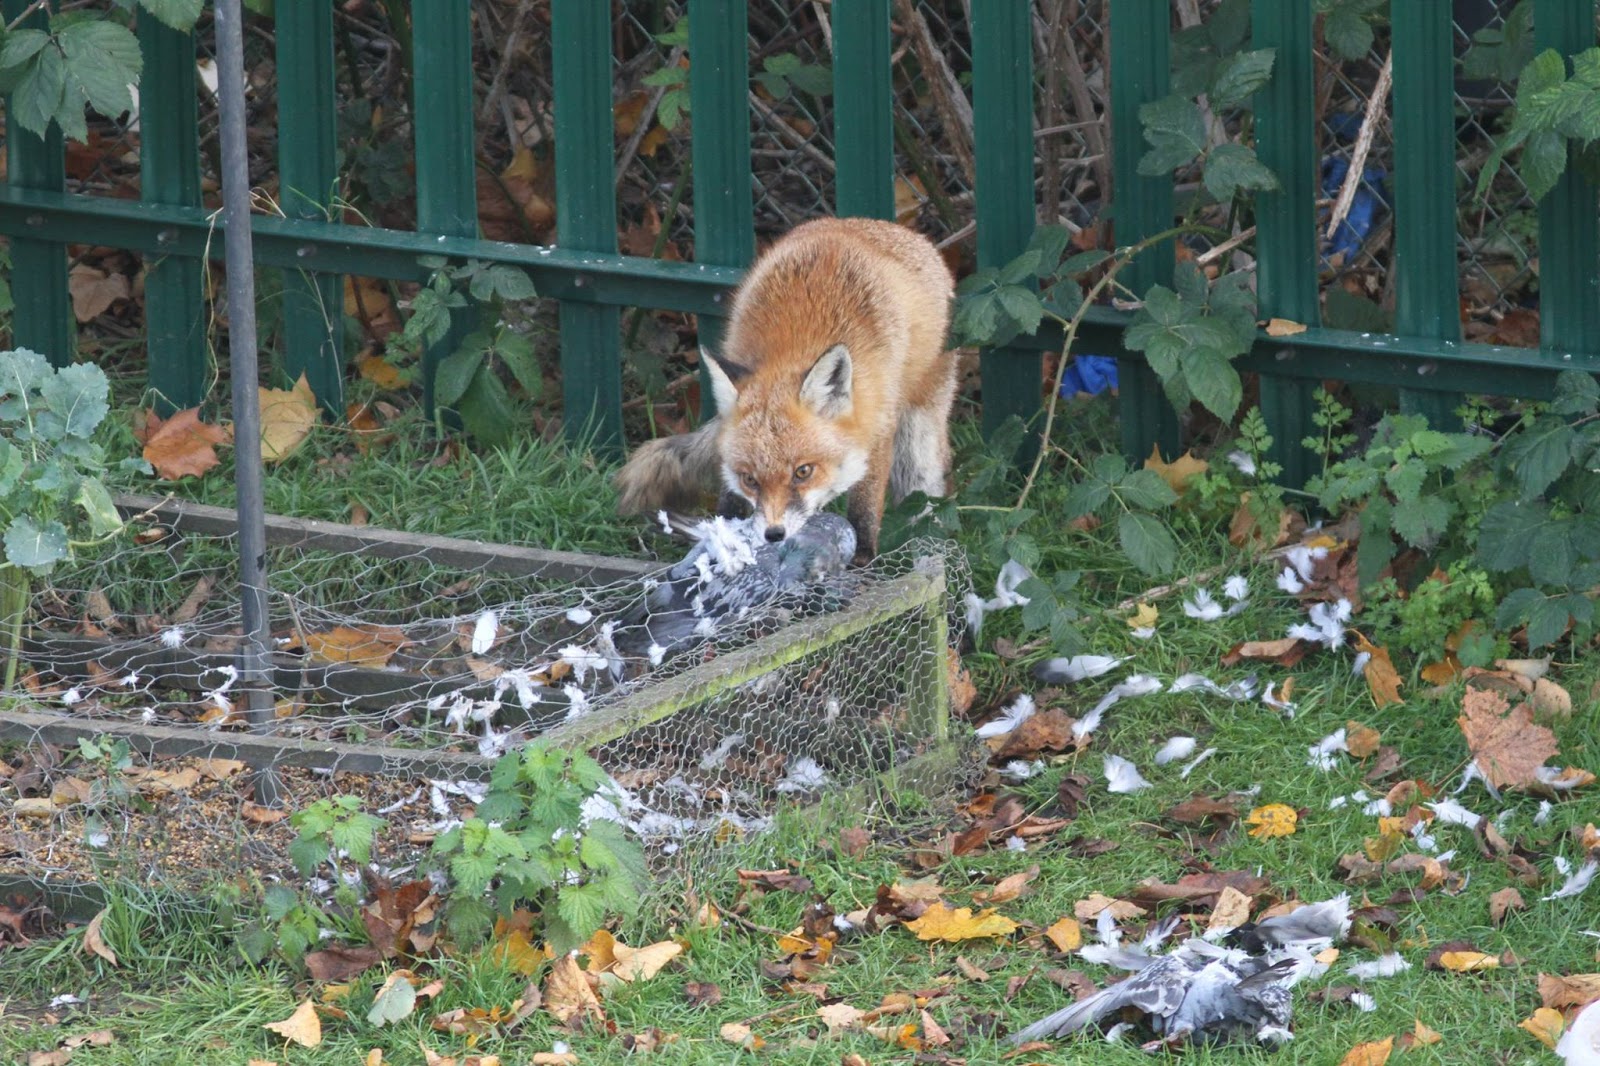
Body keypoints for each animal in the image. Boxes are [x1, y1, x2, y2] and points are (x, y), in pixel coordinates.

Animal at [614, 217, 957, 562]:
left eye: (802, 472)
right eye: (750, 479)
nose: (774, 534)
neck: (803, 334)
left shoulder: (877, 429)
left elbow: (865, 505)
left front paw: (861, 555)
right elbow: (730, 495)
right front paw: (725, 534)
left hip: (918, 439)